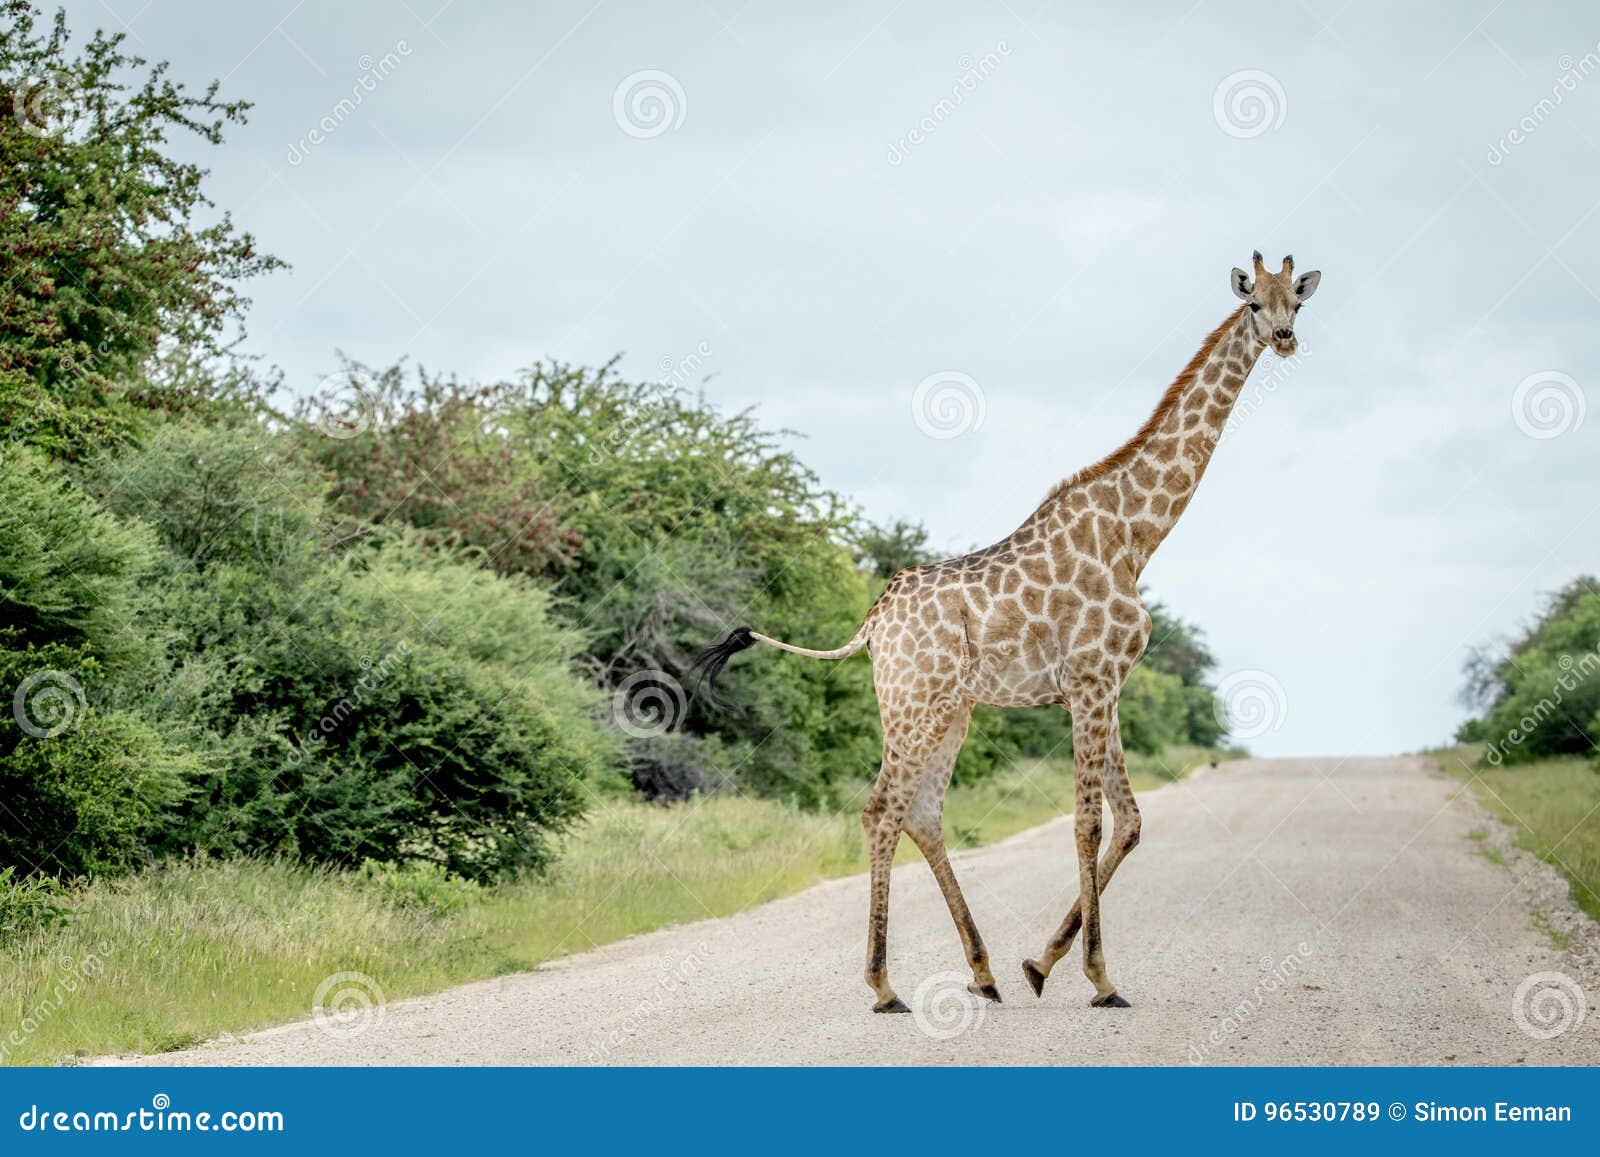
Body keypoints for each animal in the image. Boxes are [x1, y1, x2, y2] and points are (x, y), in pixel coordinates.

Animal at [697, 252, 1320, 1013]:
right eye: (1253, 303)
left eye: (1296, 300)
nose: (1285, 338)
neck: (1136, 534)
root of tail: (871, 621)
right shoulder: (1091, 682)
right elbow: (1089, 822)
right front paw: (1100, 977)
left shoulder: (1105, 684)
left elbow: (1131, 821)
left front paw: (1040, 964)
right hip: (914, 703)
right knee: (881, 810)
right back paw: (885, 985)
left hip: (951, 709)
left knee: (922, 814)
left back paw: (986, 971)